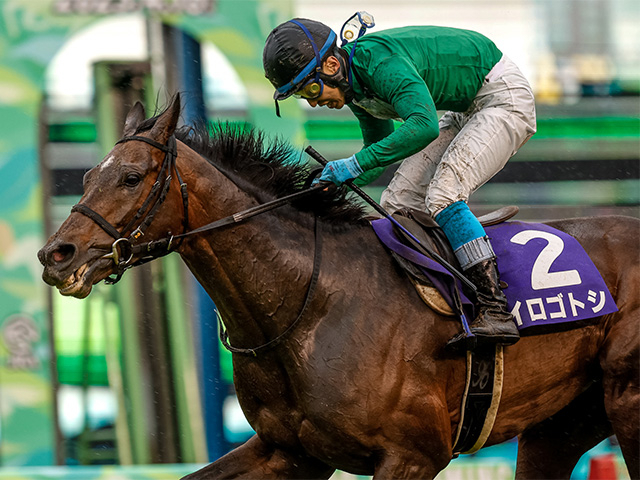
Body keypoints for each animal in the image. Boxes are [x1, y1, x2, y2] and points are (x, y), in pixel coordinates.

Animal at [38, 95, 639, 479]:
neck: (310, 301)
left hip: (626, 402)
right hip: (560, 426)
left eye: (131, 177)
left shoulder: (412, 457)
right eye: (88, 175)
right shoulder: (288, 452)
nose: (55, 256)